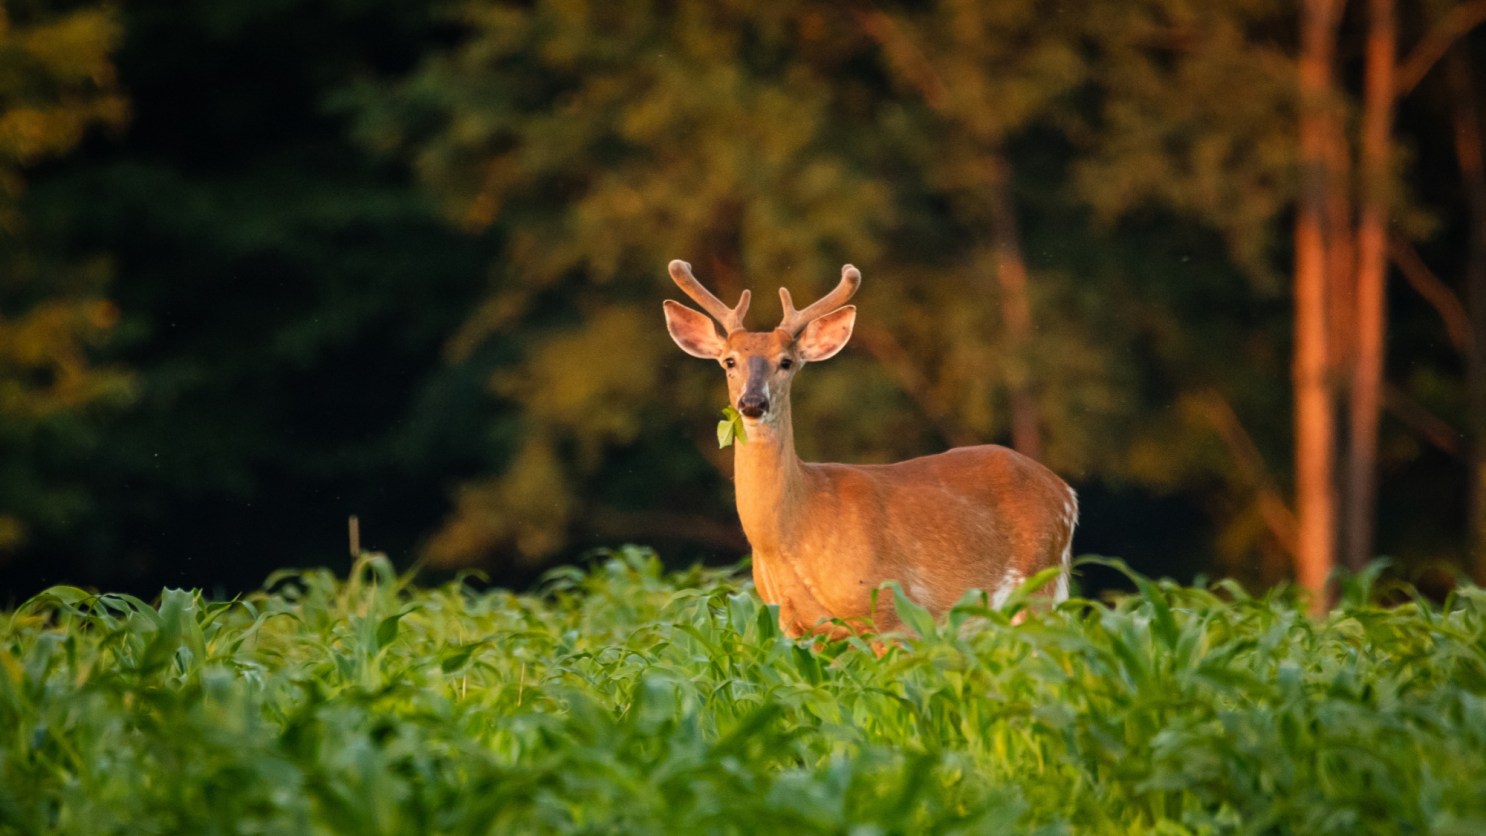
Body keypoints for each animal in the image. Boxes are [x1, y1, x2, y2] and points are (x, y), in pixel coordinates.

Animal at [662, 259, 1078, 639]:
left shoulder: (892, 612)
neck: (791, 535)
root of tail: (1066, 492)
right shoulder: (795, 627)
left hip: (1039, 585)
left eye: (787, 362)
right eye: (729, 361)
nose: (752, 403)